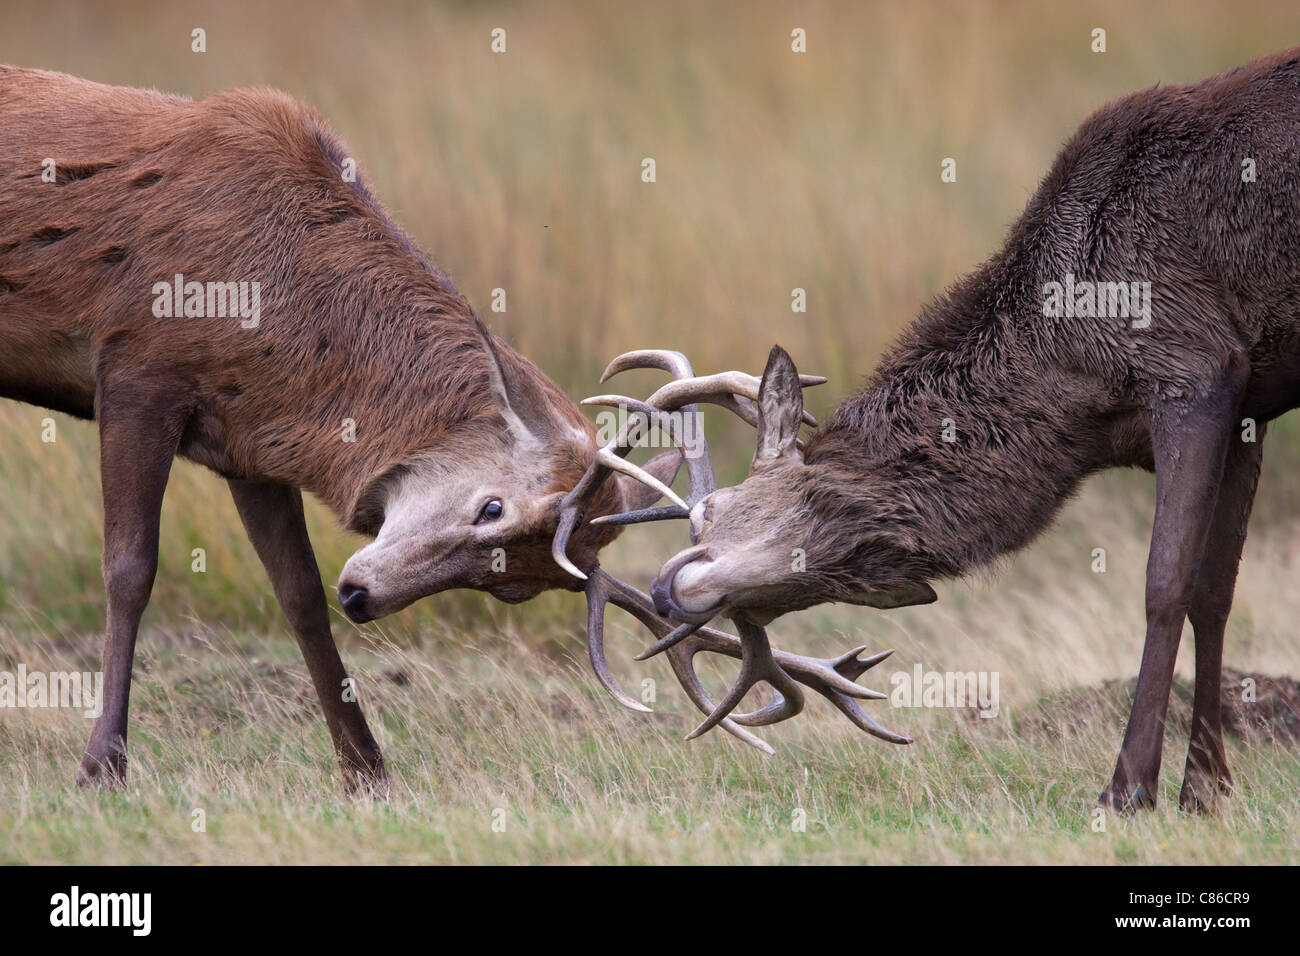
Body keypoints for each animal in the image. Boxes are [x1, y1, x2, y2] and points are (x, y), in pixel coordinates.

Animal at [0, 64, 712, 791]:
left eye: (512, 588)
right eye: (491, 508)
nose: (363, 596)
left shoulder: (245, 441)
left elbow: (299, 594)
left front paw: (365, 768)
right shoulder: (136, 365)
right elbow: (129, 569)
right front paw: (101, 766)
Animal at [564, 48, 1300, 813]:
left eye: (716, 507)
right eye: (833, 587)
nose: (665, 591)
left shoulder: (1196, 360)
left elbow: (1167, 583)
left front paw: (1128, 789)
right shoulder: (1250, 403)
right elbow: (1216, 594)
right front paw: (1206, 789)